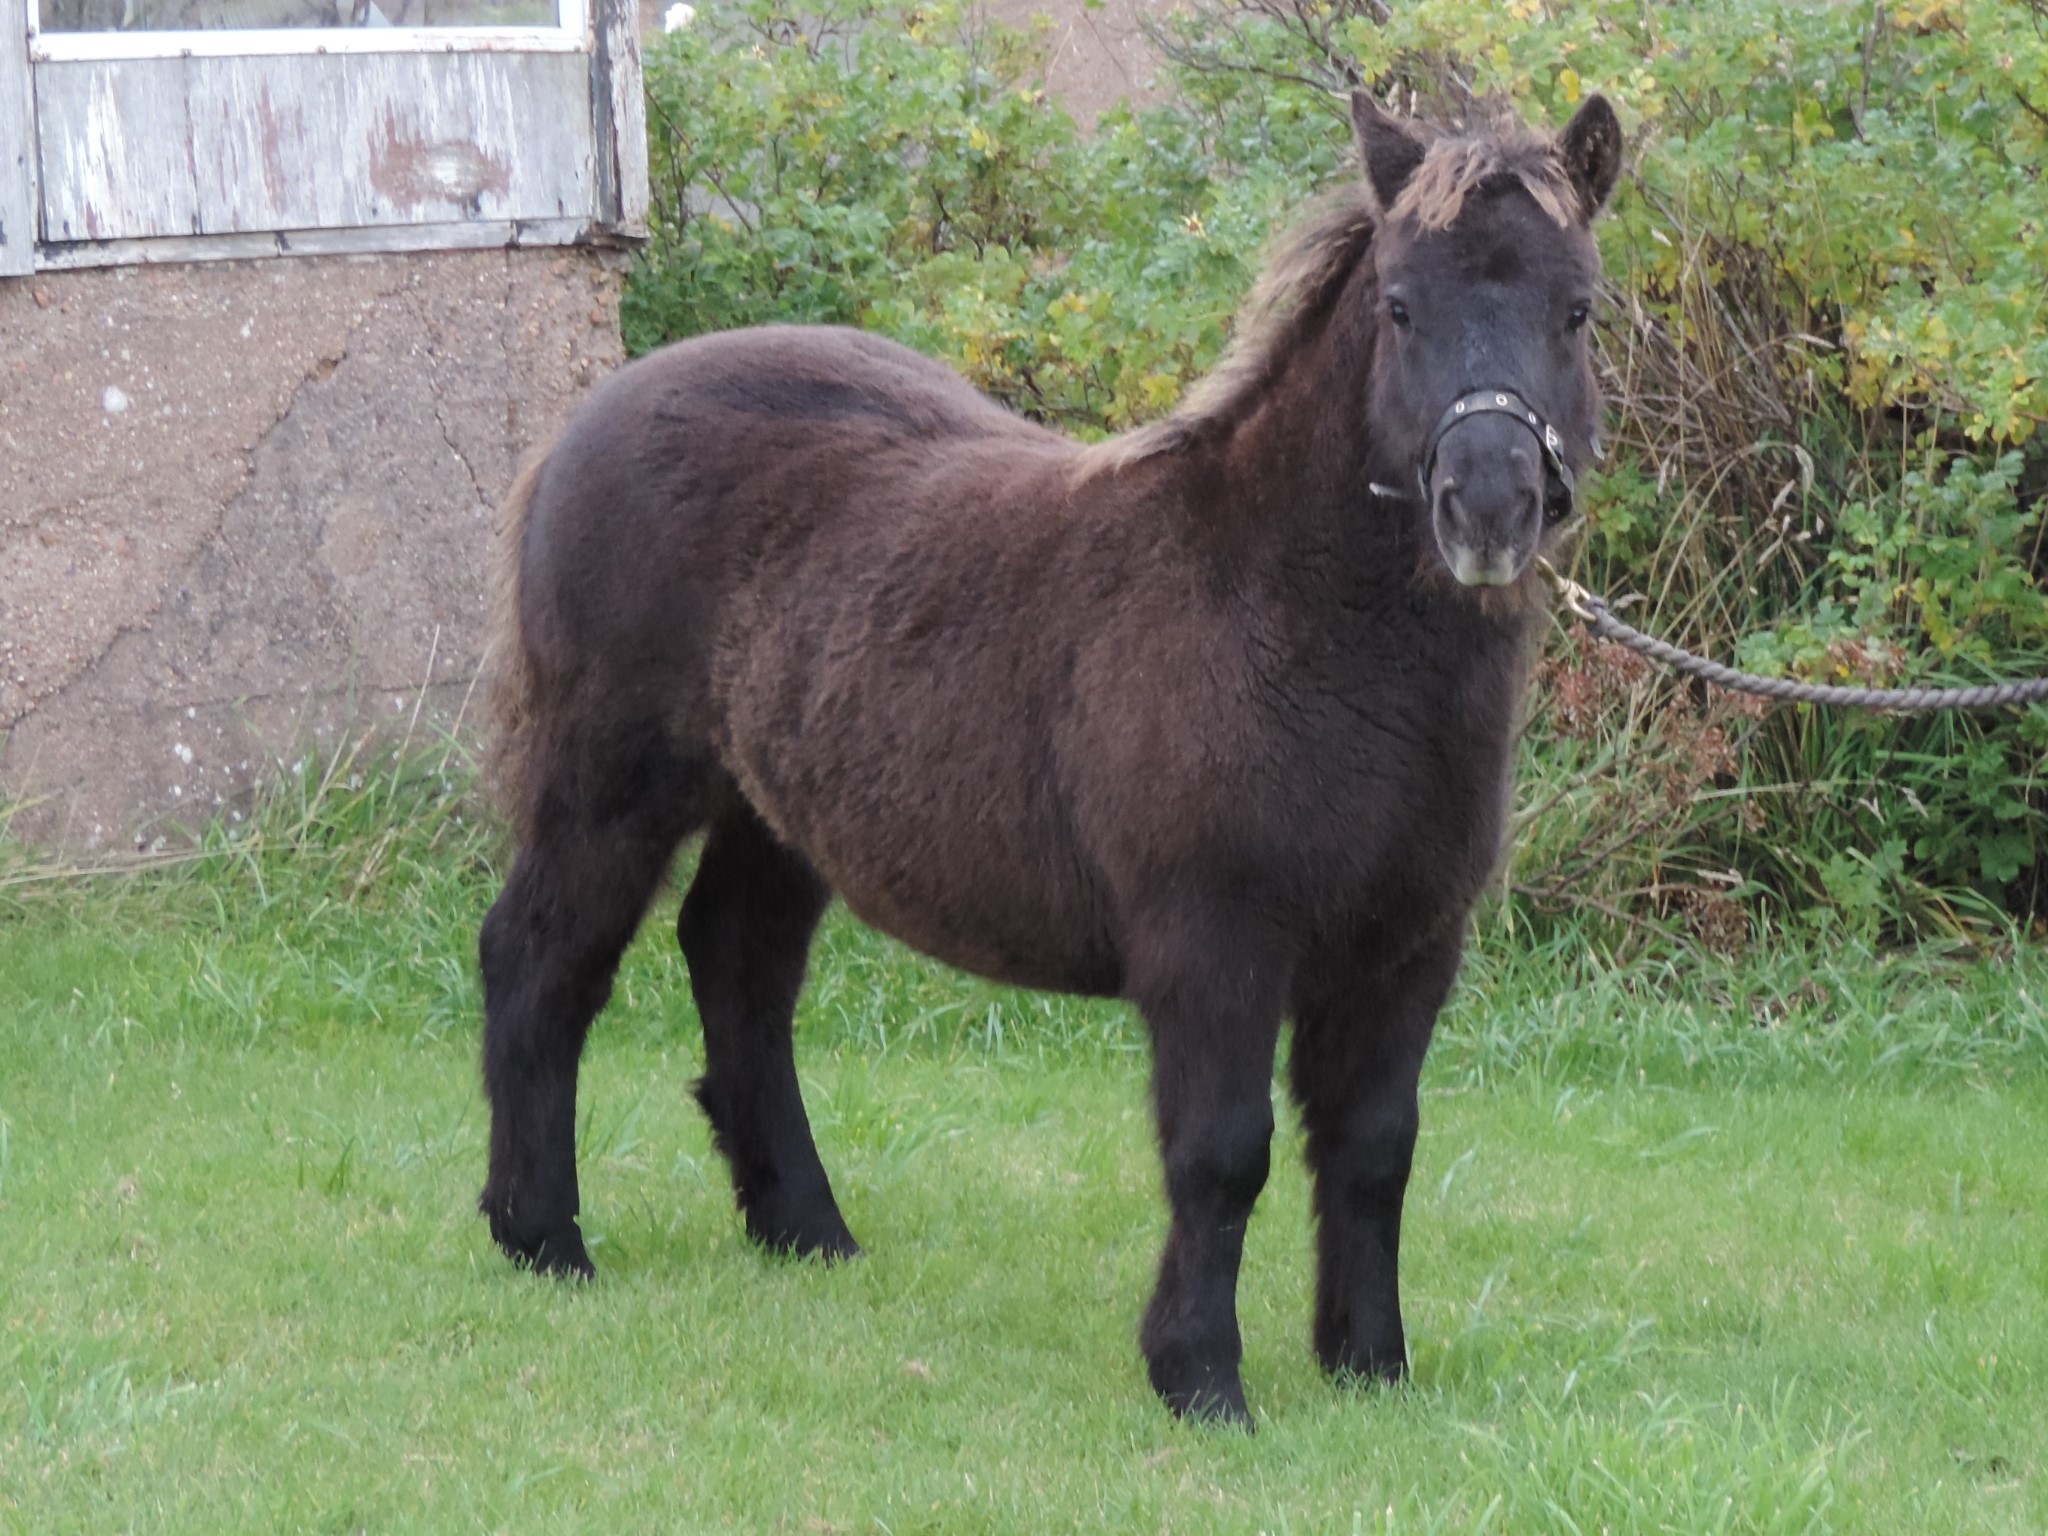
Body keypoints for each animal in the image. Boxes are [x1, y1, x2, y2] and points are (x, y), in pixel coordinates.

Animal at [477, 91, 1623, 1426]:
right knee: (542, 962)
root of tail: (588, 421)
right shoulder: (1211, 940)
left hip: (776, 807)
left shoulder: (1407, 948)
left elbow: (1372, 1149)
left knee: (737, 964)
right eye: (1397, 306)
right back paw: (542, 1237)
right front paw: (1198, 1377)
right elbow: (1219, 1154)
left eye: (1576, 307)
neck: (1291, 615)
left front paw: (1369, 1367)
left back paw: (805, 1228)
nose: (1486, 508)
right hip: (609, 784)